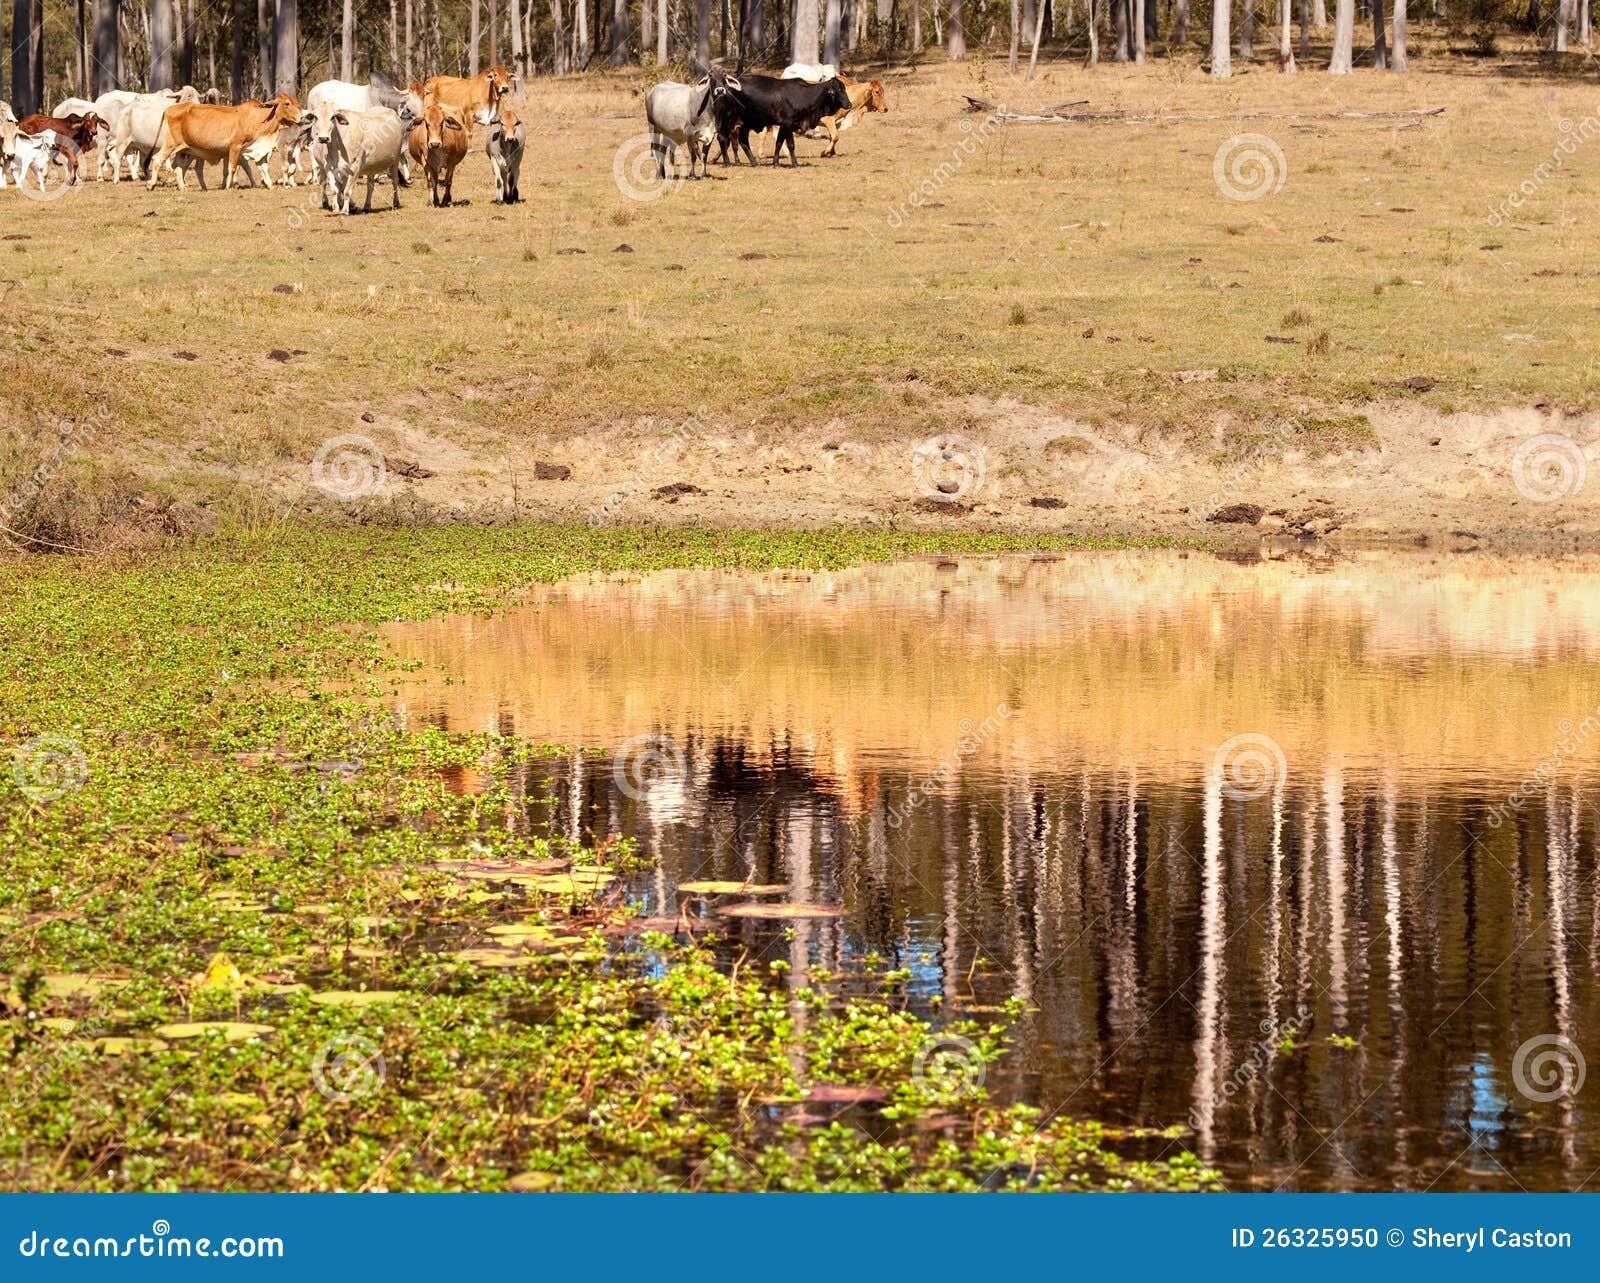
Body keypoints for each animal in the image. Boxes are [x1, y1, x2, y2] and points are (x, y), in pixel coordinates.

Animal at [147, 94, 300, 190]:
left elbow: (263, 168)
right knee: (157, 159)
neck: (257, 119)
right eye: (287, 103)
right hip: (171, 144)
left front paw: (270, 185)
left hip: (184, 149)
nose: (301, 116)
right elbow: (232, 168)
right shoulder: (235, 147)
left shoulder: (256, 149)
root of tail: (169, 108)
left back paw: (183, 187)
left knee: (179, 167)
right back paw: (151, 185)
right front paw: (228, 186)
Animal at [714, 73, 851, 168]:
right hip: (728, 119)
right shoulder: (788, 124)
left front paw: (776, 163)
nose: (849, 104)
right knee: (722, 139)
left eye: (844, 88)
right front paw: (795, 164)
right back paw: (727, 163)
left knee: (743, 141)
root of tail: (726, 88)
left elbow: (779, 143)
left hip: (745, 123)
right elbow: (790, 145)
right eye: (838, 90)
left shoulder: (785, 126)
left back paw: (754, 163)